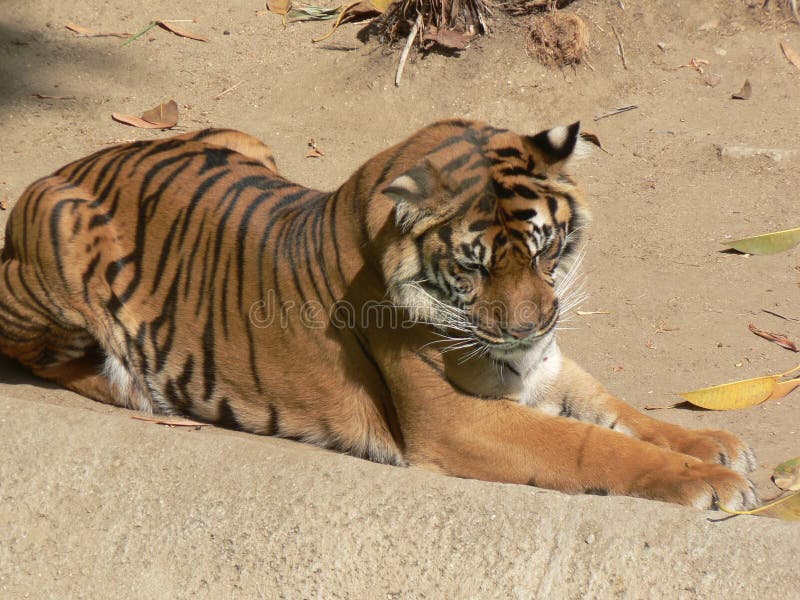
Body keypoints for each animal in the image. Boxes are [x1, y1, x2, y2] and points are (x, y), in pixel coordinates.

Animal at [0, 120, 759, 510]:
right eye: (476, 266)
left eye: (545, 249)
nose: (527, 328)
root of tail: (68, 166)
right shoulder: (454, 420)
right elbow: (588, 445)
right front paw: (713, 482)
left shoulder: (541, 366)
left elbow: (614, 410)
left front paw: (712, 444)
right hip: (62, 240)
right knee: (45, 356)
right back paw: (137, 387)